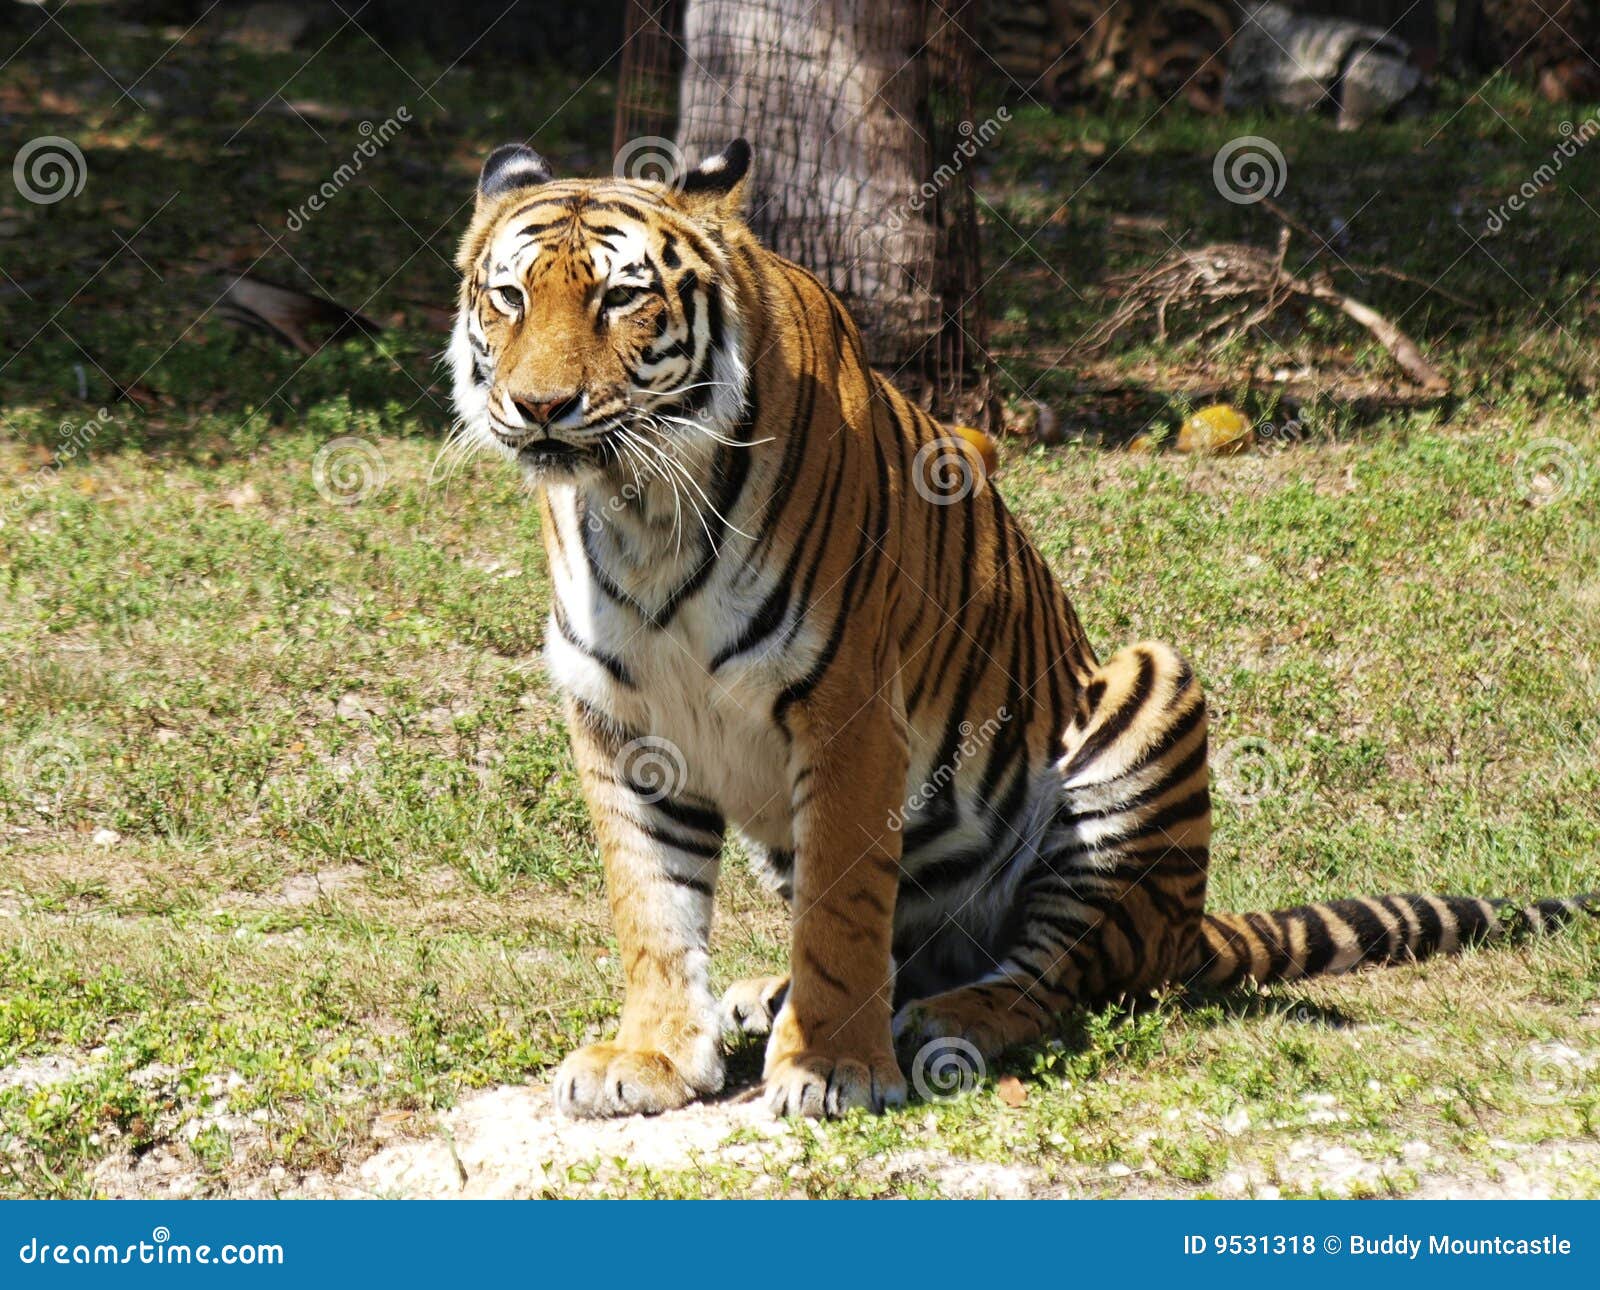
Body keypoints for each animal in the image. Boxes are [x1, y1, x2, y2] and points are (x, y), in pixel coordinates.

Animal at [449, 137, 1597, 1120]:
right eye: (510, 297)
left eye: (621, 296)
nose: (539, 407)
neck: (639, 504)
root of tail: (1186, 926)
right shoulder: (622, 722)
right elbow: (652, 907)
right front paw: (650, 1056)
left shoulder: (848, 708)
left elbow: (839, 909)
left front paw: (833, 1068)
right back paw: (770, 999)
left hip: (1147, 708)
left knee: (1054, 973)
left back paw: (935, 1019)